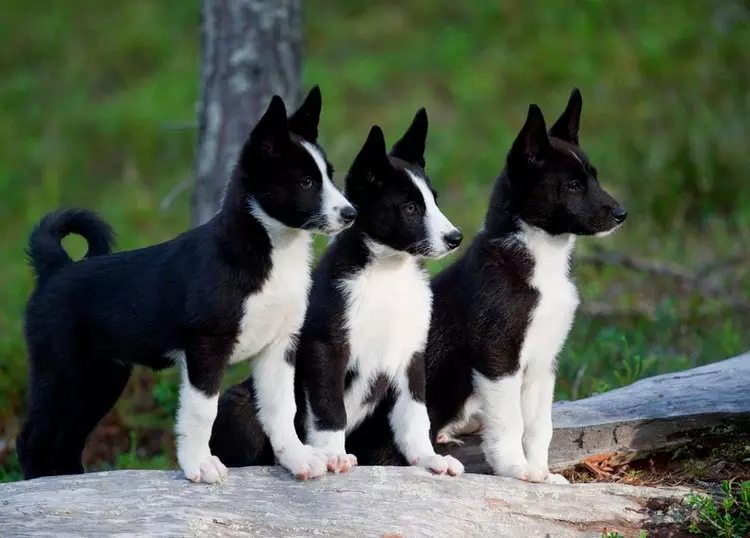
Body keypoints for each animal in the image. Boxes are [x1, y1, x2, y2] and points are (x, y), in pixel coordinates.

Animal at [16, 87, 358, 482]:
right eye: (306, 183)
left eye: (329, 175)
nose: (352, 214)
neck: (267, 251)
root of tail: (55, 267)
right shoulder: (205, 348)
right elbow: (202, 412)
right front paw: (199, 464)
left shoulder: (279, 347)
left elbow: (280, 408)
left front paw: (298, 458)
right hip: (61, 371)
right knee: (33, 439)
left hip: (101, 377)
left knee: (66, 439)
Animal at [212, 109, 468, 474]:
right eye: (410, 208)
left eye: (434, 200)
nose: (455, 238)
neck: (387, 273)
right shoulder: (326, 347)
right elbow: (329, 408)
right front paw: (333, 454)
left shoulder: (411, 355)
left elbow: (414, 414)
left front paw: (429, 458)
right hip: (240, 403)